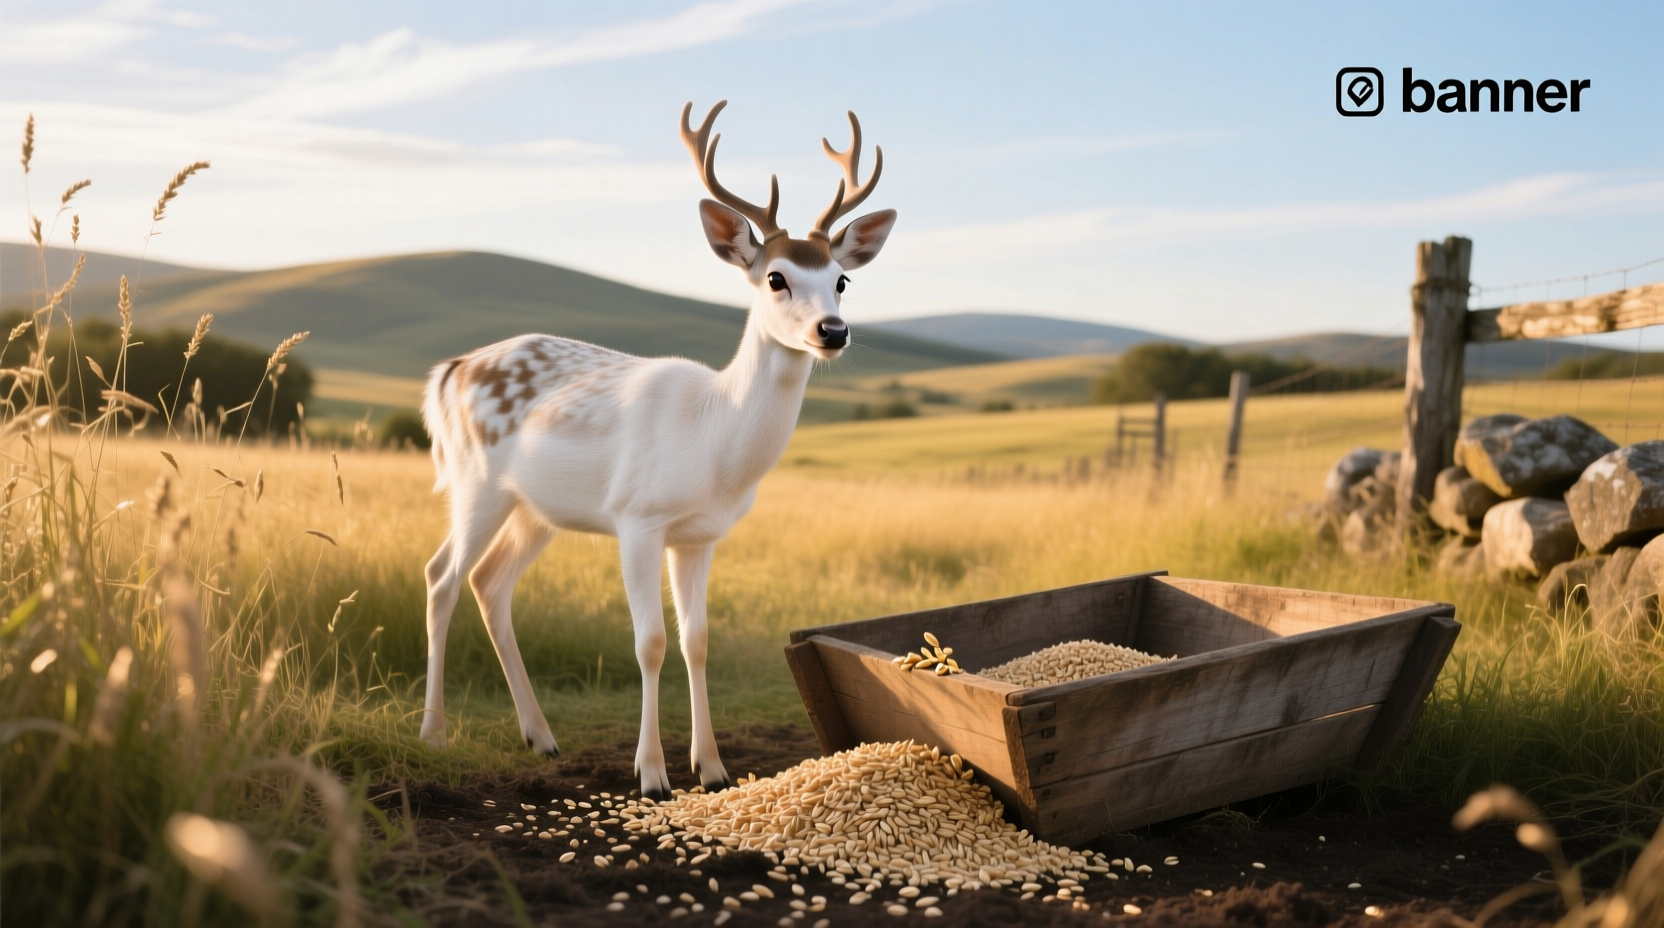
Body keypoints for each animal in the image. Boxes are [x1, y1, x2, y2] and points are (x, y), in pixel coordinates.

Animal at [417, 101, 896, 799]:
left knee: (489, 582)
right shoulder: (636, 518)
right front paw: (651, 775)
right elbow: (649, 642)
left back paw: (541, 736)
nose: (832, 332)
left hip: (536, 510)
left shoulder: (700, 535)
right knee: (442, 577)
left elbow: (696, 639)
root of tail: (447, 371)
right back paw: (434, 733)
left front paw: (713, 769)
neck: (714, 442)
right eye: (775, 277)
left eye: (843, 280)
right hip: (473, 481)